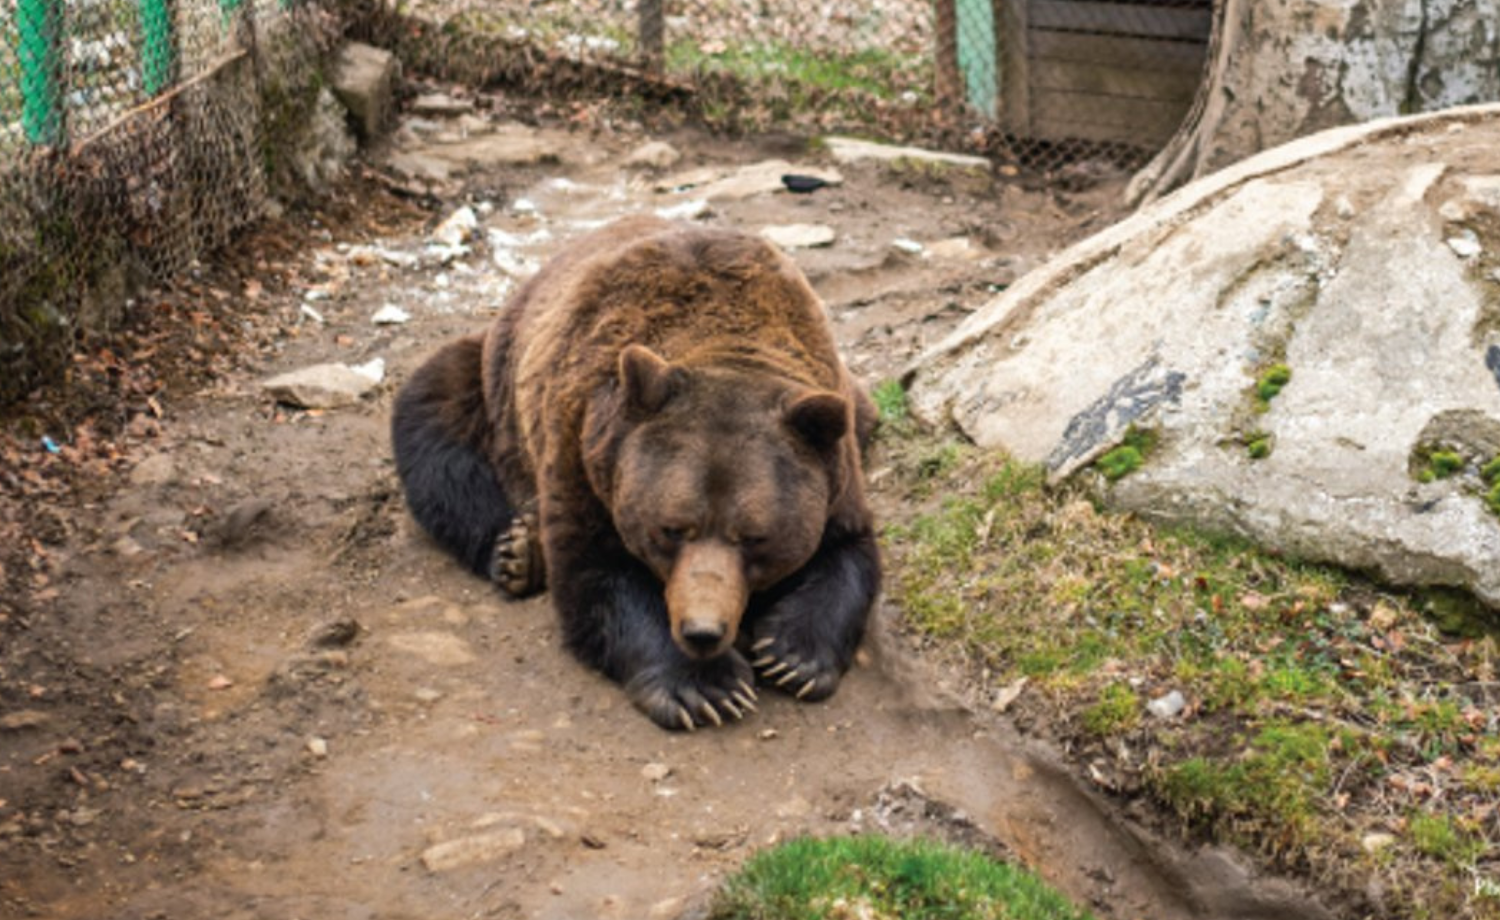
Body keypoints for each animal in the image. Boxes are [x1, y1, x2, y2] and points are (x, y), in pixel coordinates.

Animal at [391, 215, 880, 730]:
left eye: (754, 537)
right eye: (672, 529)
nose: (702, 631)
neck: (724, 341)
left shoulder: (833, 459)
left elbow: (847, 549)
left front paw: (793, 657)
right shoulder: (584, 447)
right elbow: (597, 572)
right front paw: (706, 687)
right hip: (495, 385)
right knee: (434, 426)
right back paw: (517, 552)